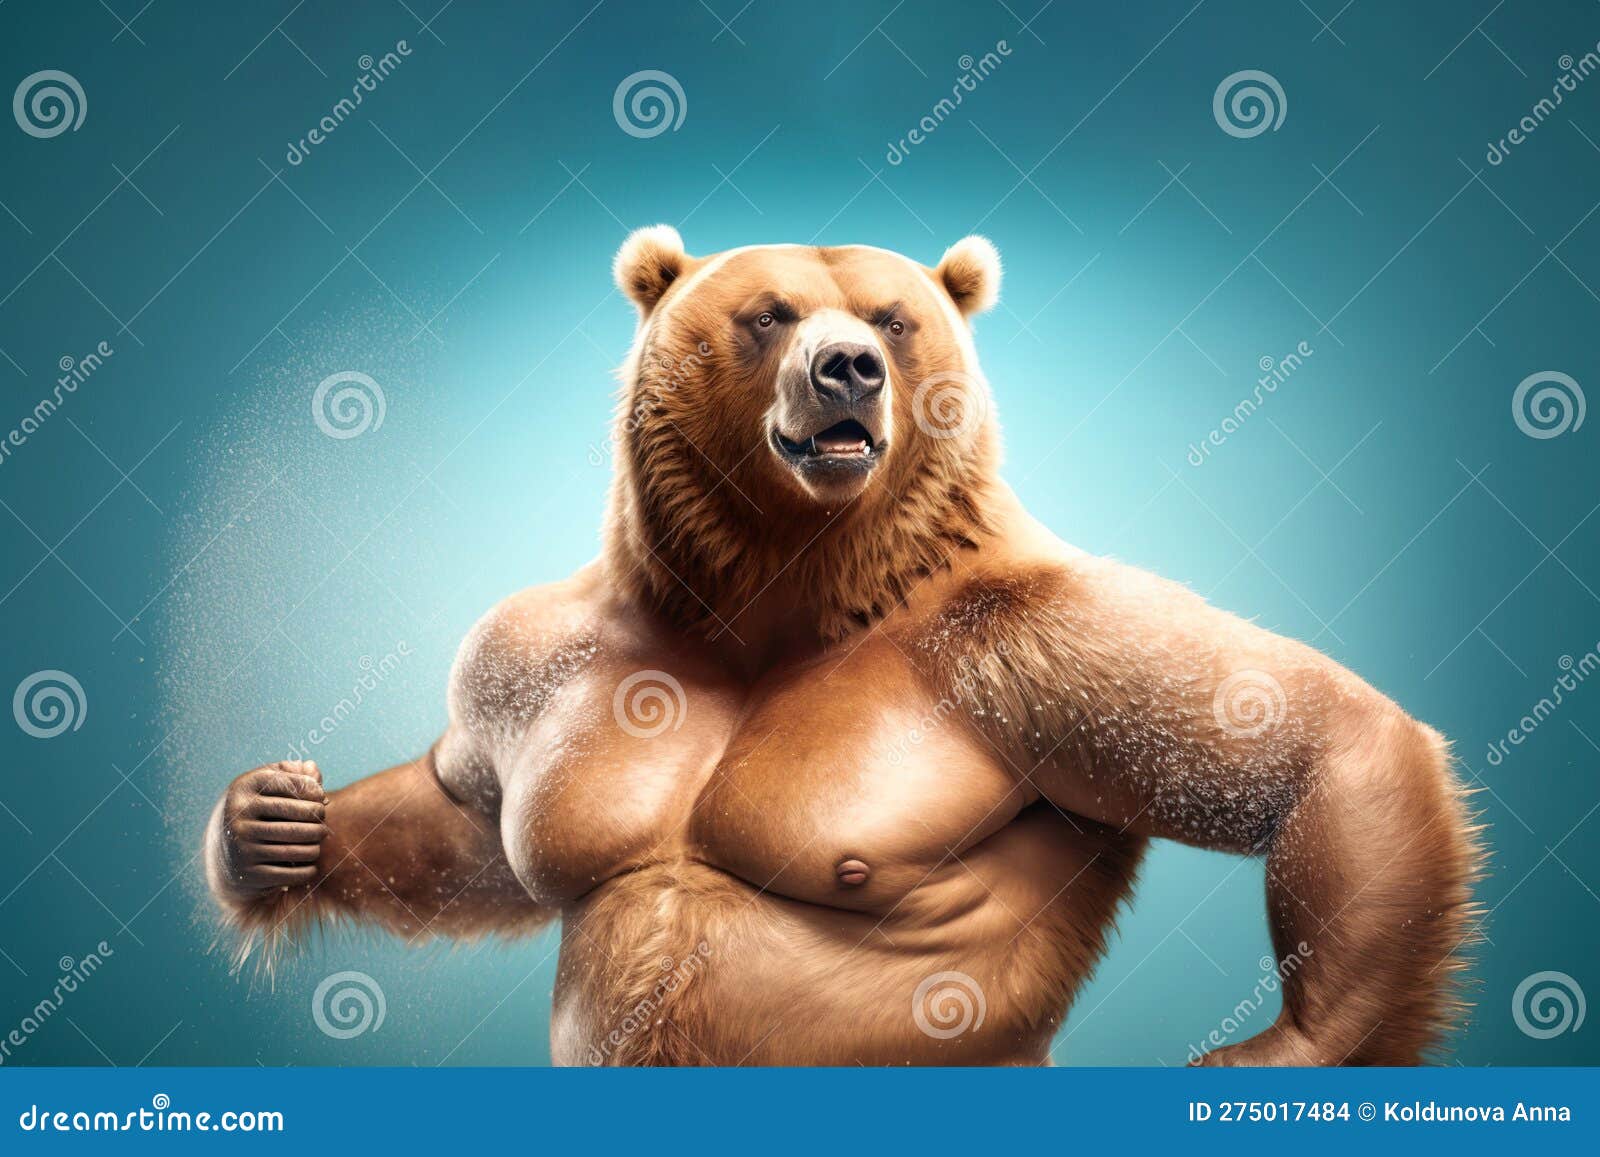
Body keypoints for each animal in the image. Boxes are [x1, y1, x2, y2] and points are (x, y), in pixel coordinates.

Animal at [203, 228, 1483, 1066]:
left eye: (891, 318)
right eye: (767, 312)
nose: (847, 368)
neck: (790, 589)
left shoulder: (1034, 638)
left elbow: (1305, 735)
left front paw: (1287, 1047)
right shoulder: (532, 653)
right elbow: (472, 813)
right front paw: (270, 826)